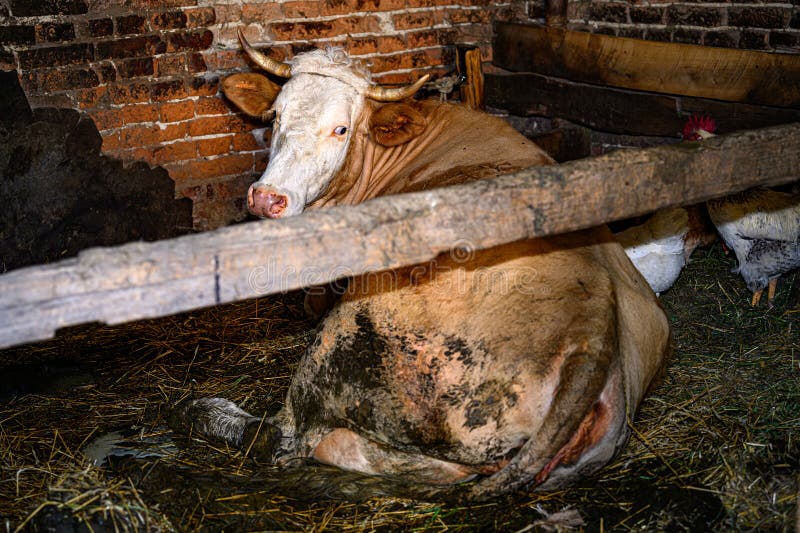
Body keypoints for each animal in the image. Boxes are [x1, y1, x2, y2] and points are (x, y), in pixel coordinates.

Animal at [169, 30, 671, 501]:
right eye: (275, 116)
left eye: (341, 130)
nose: (267, 199)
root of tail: (594, 330)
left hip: (352, 333)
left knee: (283, 436)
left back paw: (207, 410)